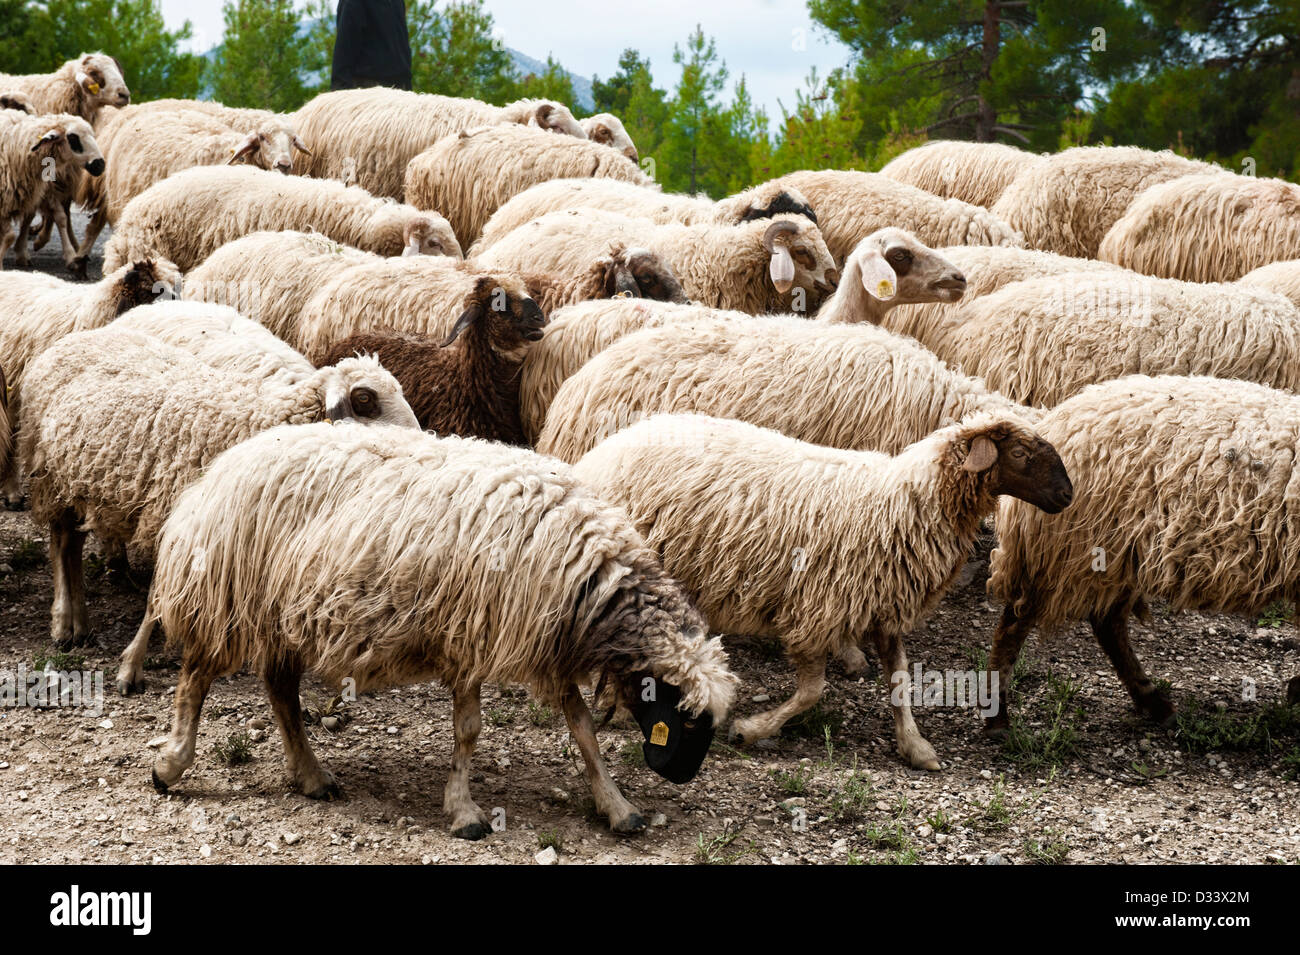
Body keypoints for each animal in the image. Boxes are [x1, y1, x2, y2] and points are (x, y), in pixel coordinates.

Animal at [18, 325, 419, 694]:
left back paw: (80, 624)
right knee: (61, 545)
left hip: (73, 482)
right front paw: (130, 668)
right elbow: (156, 597)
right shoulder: (178, 519)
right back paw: (63, 623)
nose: (418, 441)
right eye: (365, 399)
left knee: (71, 545)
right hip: (49, 474)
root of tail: (77, 337)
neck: (261, 421)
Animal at [147, 421, 736, 835]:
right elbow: (470, 730)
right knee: (195, 679)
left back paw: (311, 776)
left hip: (283, 616)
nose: (682, 777)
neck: (594, 582)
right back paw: (171, 766)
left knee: (280, 690)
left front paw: (618, 806)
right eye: (686, 717)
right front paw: (466, 813)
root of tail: (220, 469)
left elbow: (584, 731)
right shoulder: (474, 641)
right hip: (226, 599)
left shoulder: (549, 650)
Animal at [573, 411, 1071, 765]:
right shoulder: (817, 609)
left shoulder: (883, 608)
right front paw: (751, 729)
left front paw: (916, 747)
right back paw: (619, 705)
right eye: (1021, 452)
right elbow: (812, 692)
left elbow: (900, 680)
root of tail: (601, 453)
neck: (907, 503)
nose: (1068, 496)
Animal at [985, 374, 1300, 734]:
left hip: (1113, 554)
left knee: (1107, 623)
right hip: (1068, 550)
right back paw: (997, 717)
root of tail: (1058, 420)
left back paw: (1151, 700)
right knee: (1014, 625)